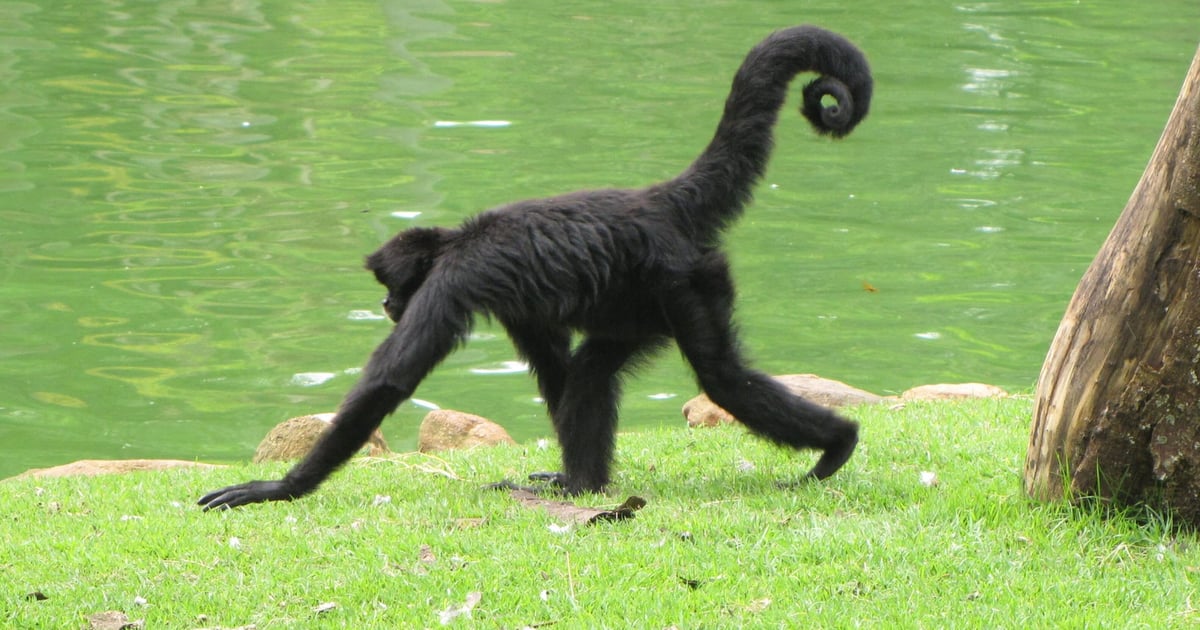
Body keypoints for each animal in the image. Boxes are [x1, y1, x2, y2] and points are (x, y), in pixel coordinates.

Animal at [198, 24, 872, 510]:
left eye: (389, 286)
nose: (387, 306)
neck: (456, 240)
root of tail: (658, 199)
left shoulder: (451, 283)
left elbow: (389, 382)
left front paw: (277, 489)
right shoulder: (514, 306)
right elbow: (557, 369)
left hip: (684, 279)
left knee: (721, 377)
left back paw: (839, 444)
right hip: (642, 302)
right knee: (594, 370)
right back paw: (583, 487)